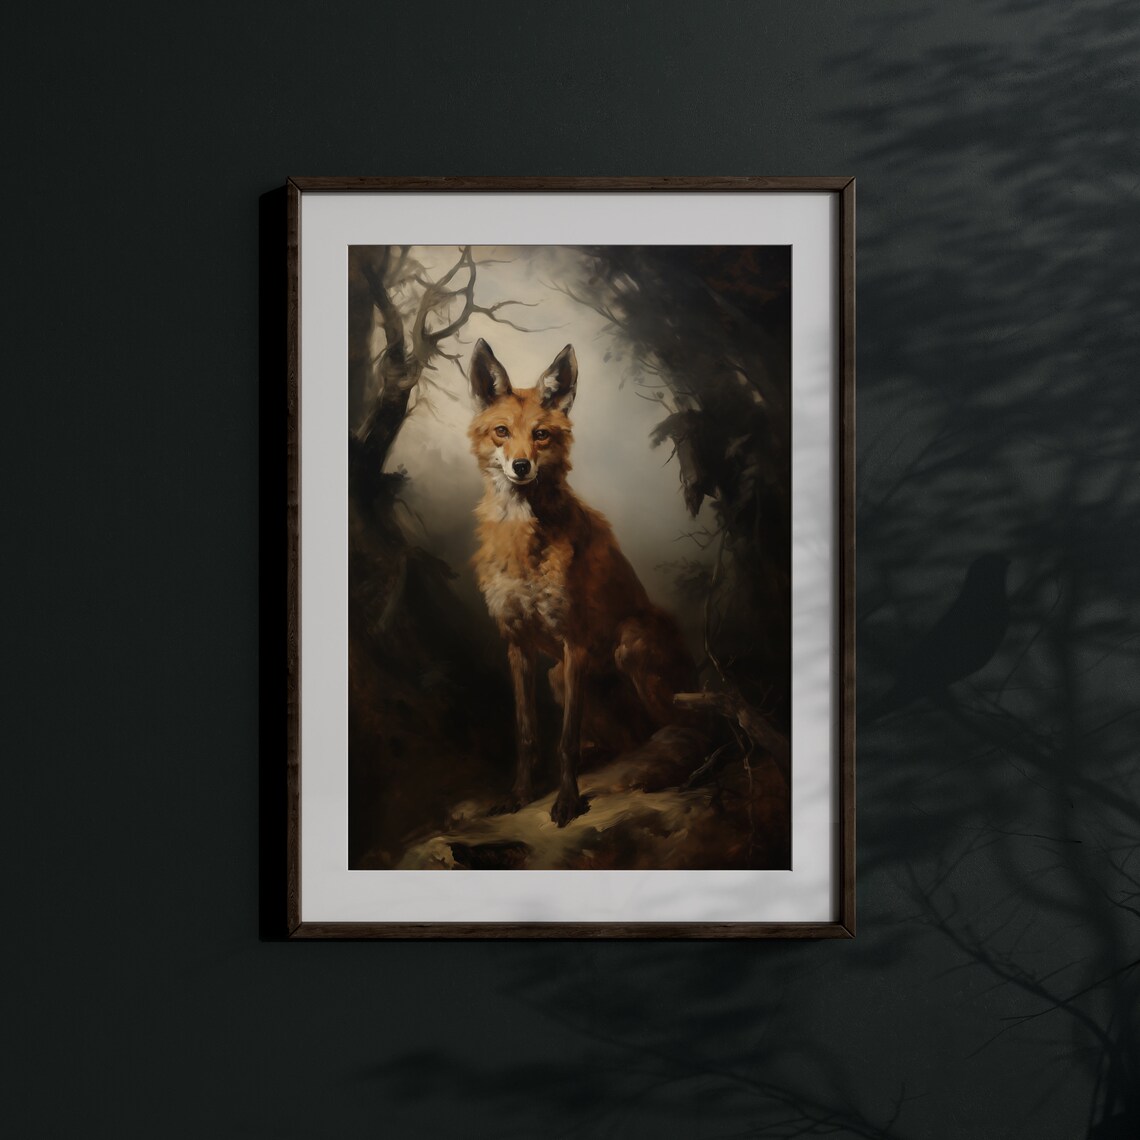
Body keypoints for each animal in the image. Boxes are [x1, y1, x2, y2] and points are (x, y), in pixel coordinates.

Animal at [468, 338, 697, 827]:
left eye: (540, 435)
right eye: (501, 431)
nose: (520, 466)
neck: (522, 545)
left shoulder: (574, 642)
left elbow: (565, 740)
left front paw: (567, 802)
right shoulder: (517, 644)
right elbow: (528, 735)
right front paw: (520, 795)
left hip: (629, 645)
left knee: (686, 725)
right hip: (557, 678)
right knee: (629, 740)